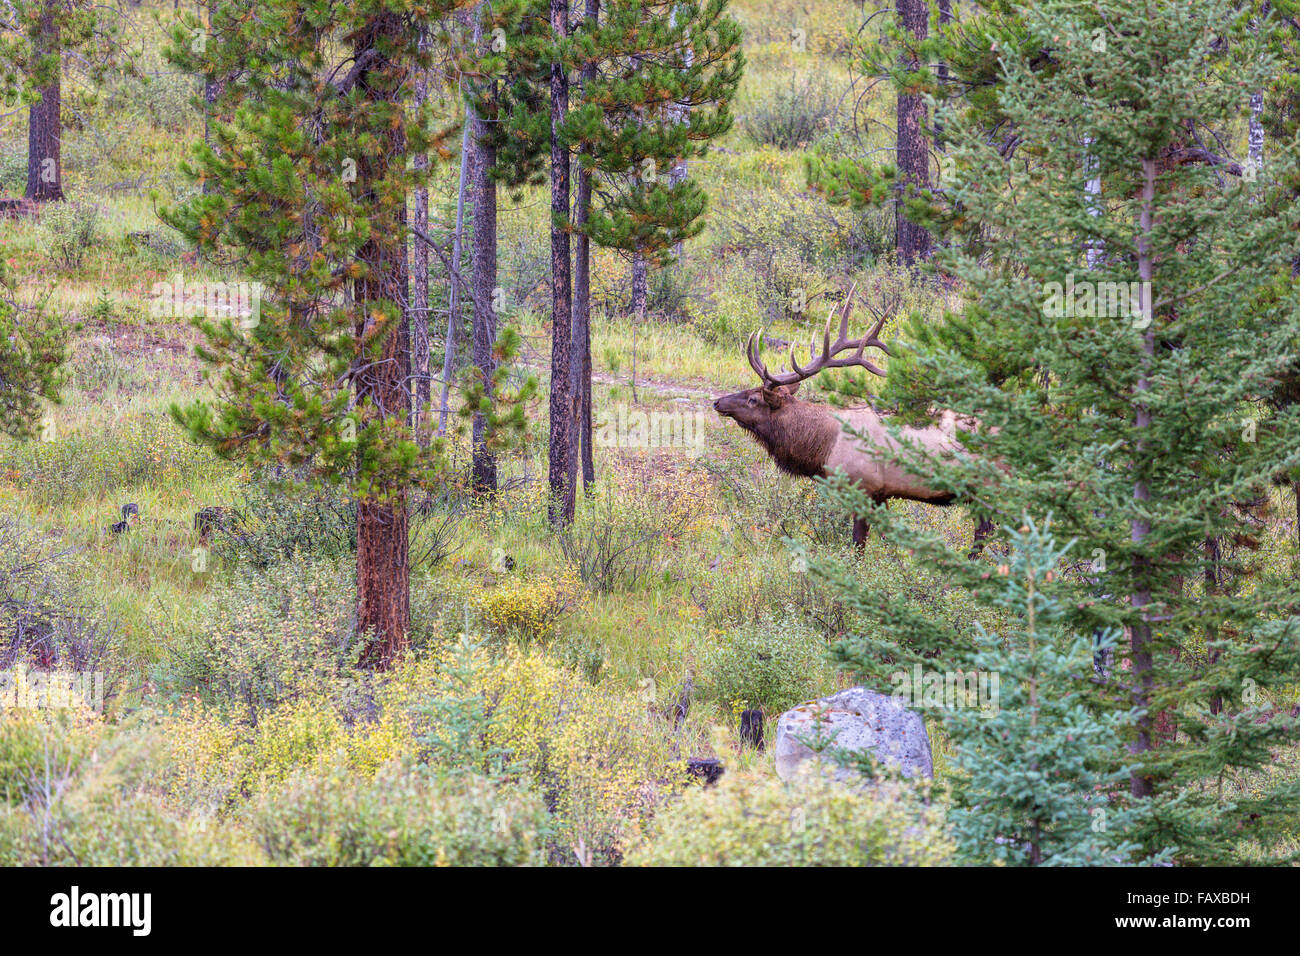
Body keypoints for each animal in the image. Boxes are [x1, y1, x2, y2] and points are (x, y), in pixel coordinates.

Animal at [712, 286, 993, 551]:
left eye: (753, 399)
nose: (717, 402)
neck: (825, 447)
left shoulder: (863, 487)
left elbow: (858, 543)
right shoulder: (881, 494)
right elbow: (888, 540)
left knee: (984, 532)